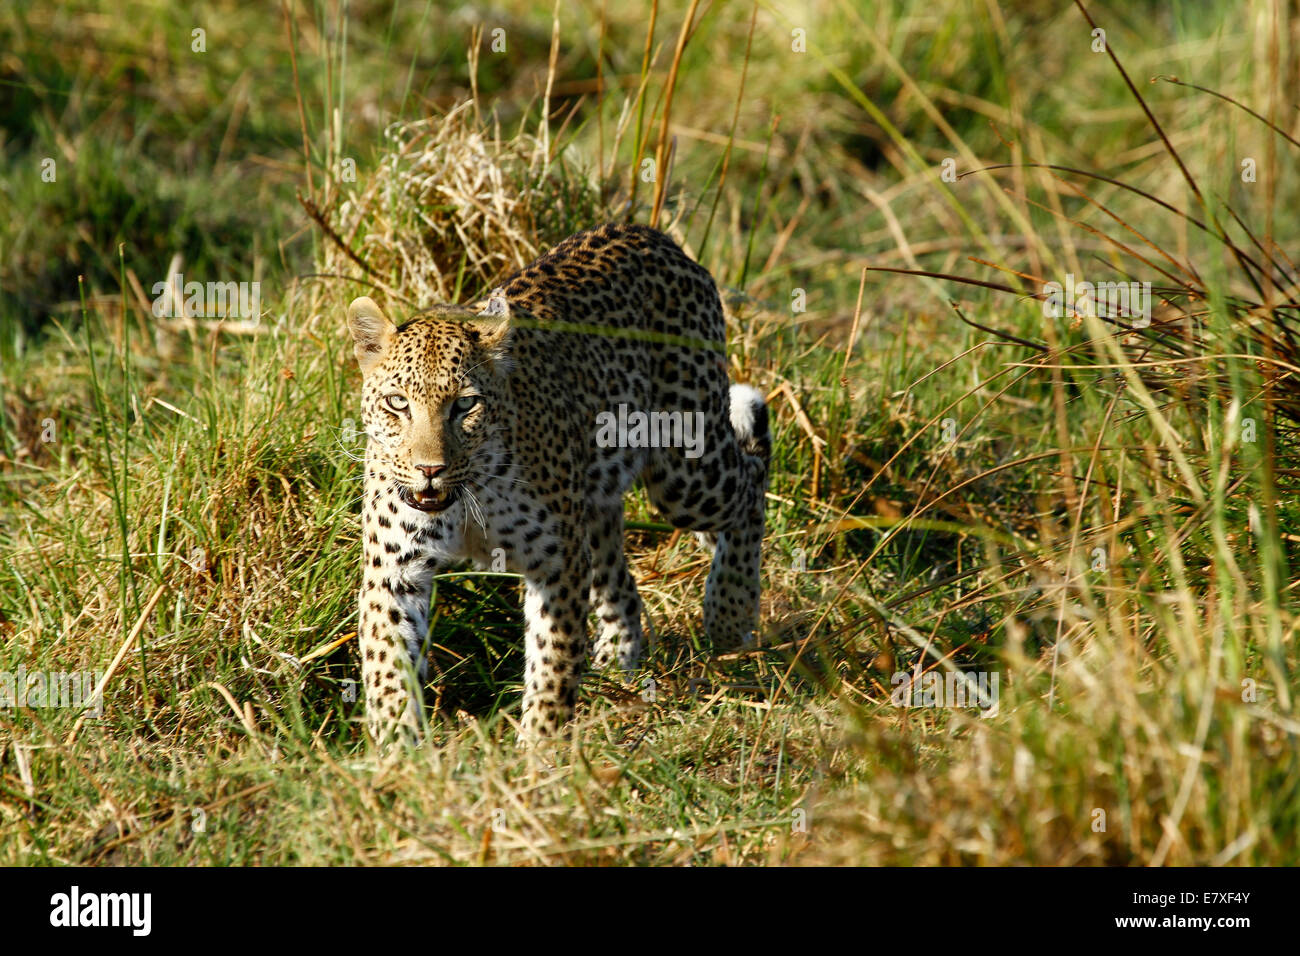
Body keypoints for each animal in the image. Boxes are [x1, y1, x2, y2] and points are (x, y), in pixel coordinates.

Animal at [345, 223, 770, 748]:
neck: (467, 497)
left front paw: (539, 748)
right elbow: (390, 669)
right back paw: (615, 662)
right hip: (599, 495)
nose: (430, 469)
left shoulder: (557, 559)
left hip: (687, 468)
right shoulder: (394, 571)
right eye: (397, 403)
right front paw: (397, 751)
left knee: (751, 479)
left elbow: (553, 658)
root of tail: (650, 234)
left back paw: (730, 614)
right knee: (619, 580)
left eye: (465, 405)